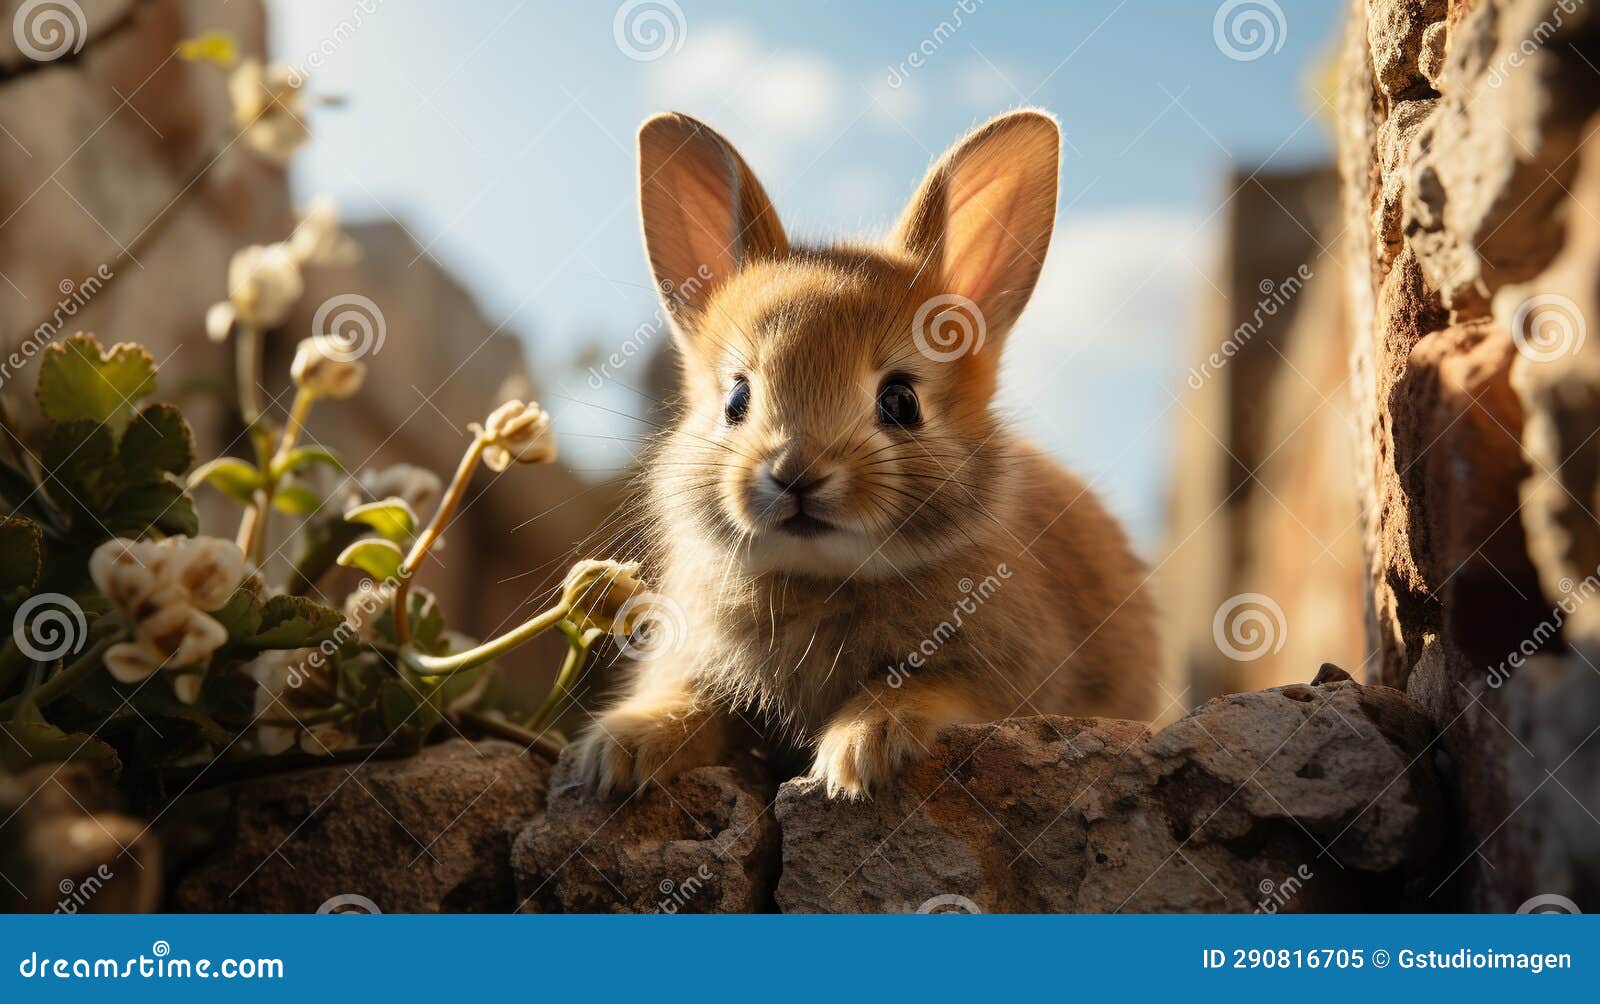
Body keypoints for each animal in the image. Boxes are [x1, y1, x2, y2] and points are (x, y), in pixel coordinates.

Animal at [572, 108, 1161, 800]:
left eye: (901, 401)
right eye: (737, 397)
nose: (796, 475)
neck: (823, 578)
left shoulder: (1005, 673)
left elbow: (929, 688)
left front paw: (857, 755)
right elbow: (691, 699)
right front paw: (619, 751)